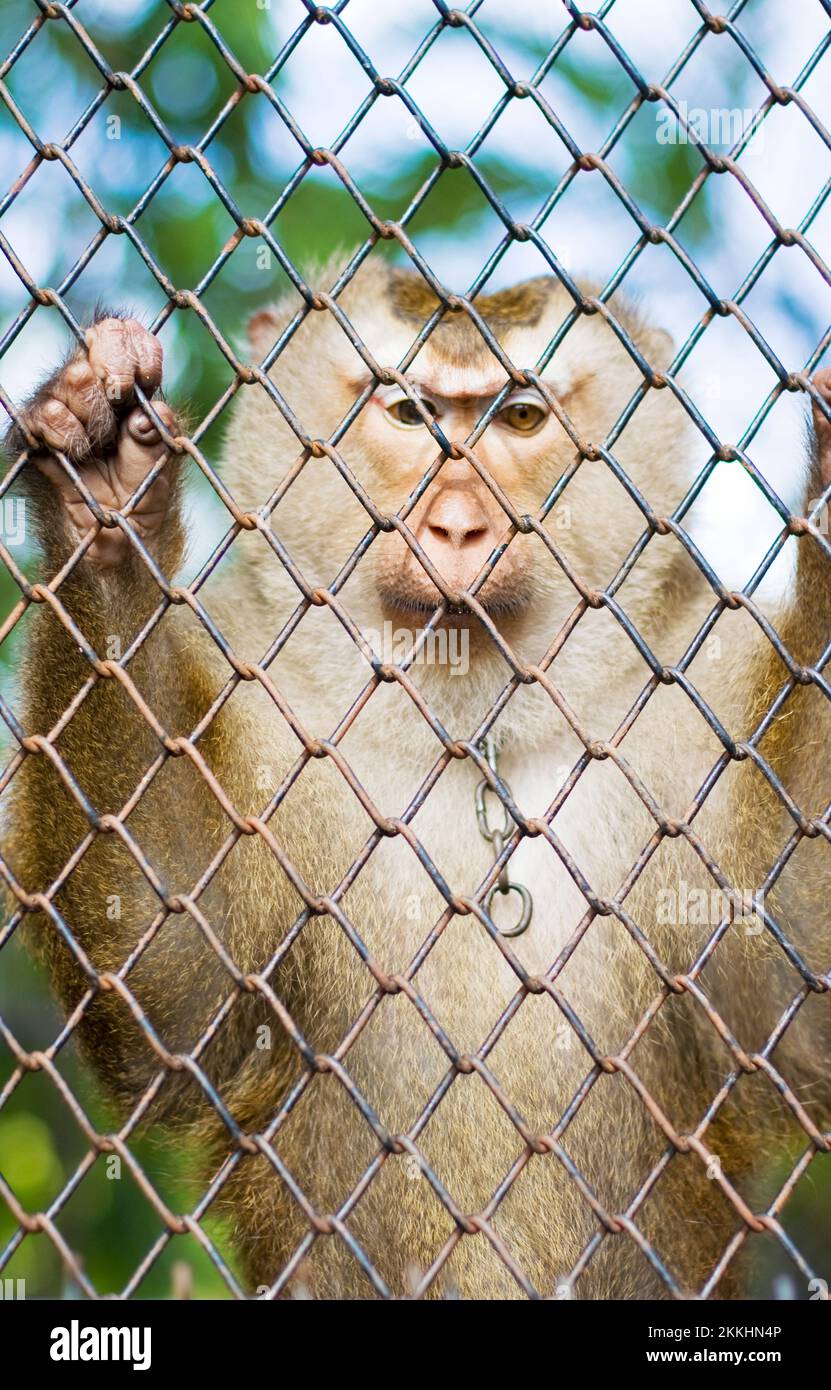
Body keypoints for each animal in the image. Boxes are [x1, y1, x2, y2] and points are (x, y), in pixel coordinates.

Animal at [4, 257, 831, 1300]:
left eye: (519, 417)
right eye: (407, 412)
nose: (459, 523)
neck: (461, 718)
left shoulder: (698, 693)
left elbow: (792, 982)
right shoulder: (258, 684)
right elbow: (183, 990)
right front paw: (104, 497)